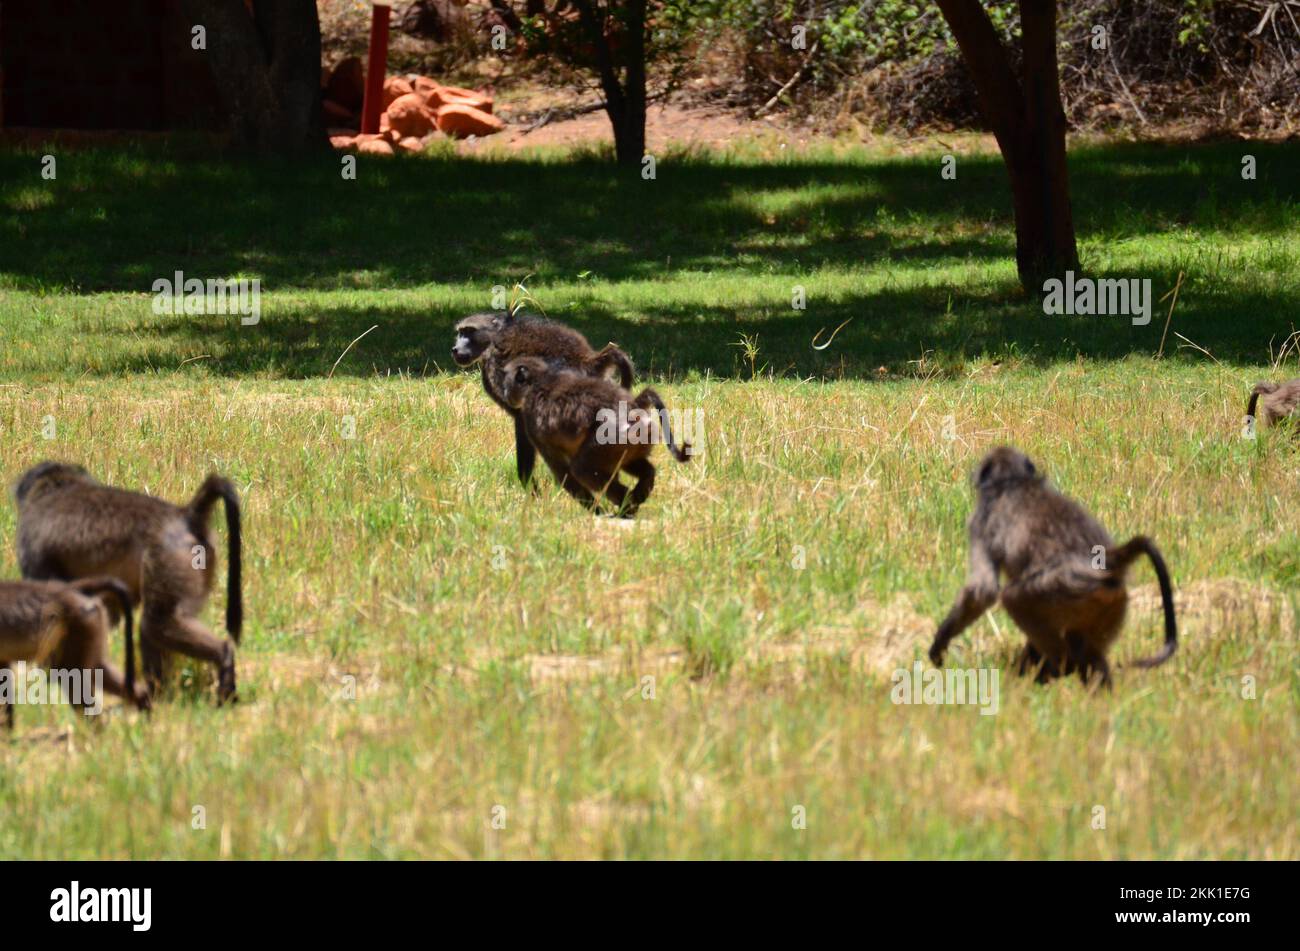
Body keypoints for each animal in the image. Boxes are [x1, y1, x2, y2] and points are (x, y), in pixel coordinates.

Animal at [0, 575, 149, 729]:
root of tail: (70, 589)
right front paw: (9, 731)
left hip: (81, 626)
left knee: (71, 674)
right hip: (93, 627)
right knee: (99, 669)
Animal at [451, 310, 635, 487]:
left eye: (469, 331)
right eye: (460, 333)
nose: (455, 349)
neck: (495, 335)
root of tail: (588, 363)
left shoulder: (495, 366)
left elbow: (520, 417)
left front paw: (528, 486)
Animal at [501, 356, 690, 516]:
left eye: (507, 382)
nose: (505, 393)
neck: (538, 380)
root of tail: (632, 408)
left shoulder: (529, 419)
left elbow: (564, 473)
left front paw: (596, 512)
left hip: (611, 437)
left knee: (582, 469)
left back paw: (626, 507)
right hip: (637, 439)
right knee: (637, 467)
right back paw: (640, 490)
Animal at [928, 446, 1177, 688]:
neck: (1014, 482)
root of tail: (1111, 561)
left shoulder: (979, 523)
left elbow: (984, 590)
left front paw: (938, 645)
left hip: (1060, 589)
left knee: (1014, 599)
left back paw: (1057, 669)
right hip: (1110, 602)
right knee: (1087, 648)